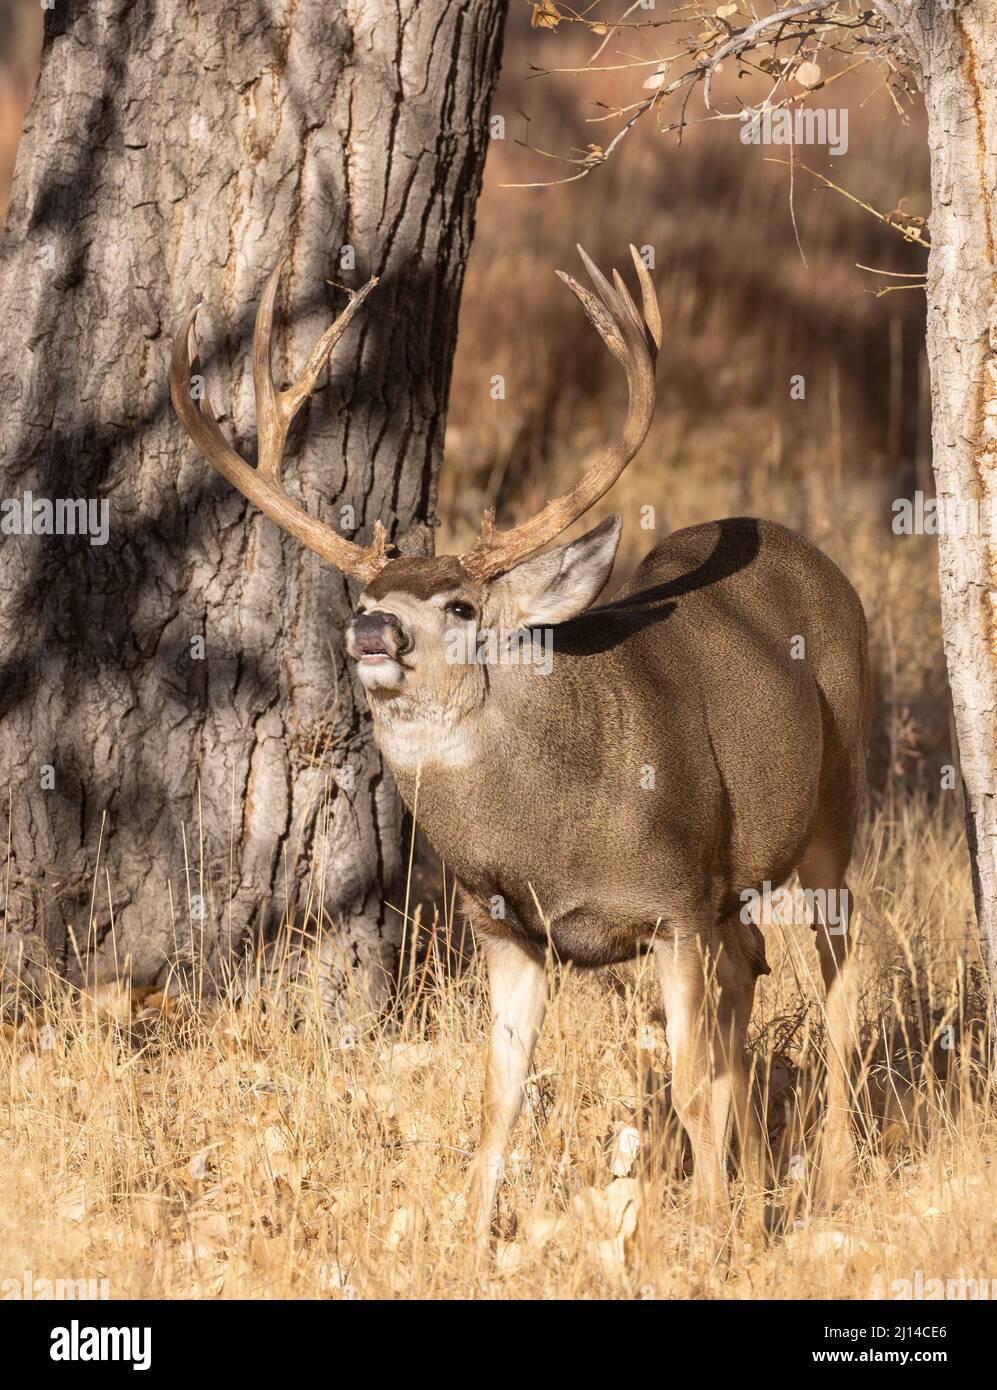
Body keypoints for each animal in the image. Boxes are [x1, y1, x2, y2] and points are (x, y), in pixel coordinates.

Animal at [170, 244, 870, 1242]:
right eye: (363, 597)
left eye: (462, 606)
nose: (371, 629)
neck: (551, 833)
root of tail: (799, 546)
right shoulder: (503, 925)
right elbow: (498, 1094)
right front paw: (468, 1240)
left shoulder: (674, 903)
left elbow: (689, 1086)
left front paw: (703, 1238)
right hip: (736, 882)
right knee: (753, 969)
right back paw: (759, 1178)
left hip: (835, 806)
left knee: (839, 979)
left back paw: (831, 1178)